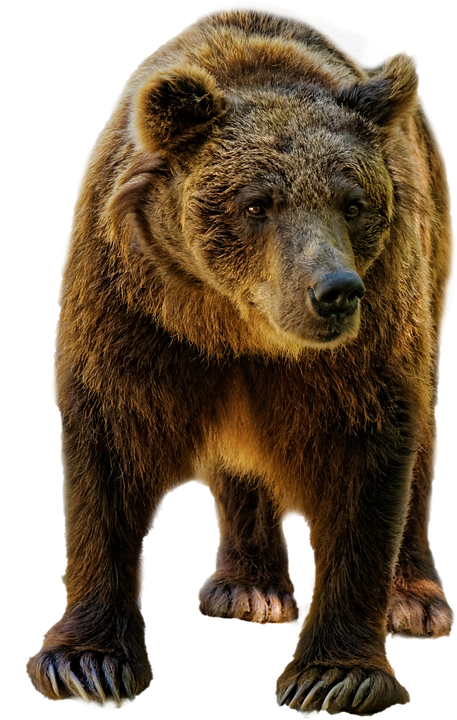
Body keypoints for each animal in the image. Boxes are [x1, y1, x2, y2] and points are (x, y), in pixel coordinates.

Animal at [26, 2, 455, 715]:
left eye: (354, 202)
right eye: (257, 202)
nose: (335, 290)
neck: (237, 326)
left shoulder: (370, 334)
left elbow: (367, 451)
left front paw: (336, 674)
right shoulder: (134, 308)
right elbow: (110, 444)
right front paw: (86, 661)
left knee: (422, 435)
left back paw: (417, 601)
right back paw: (249, 588)